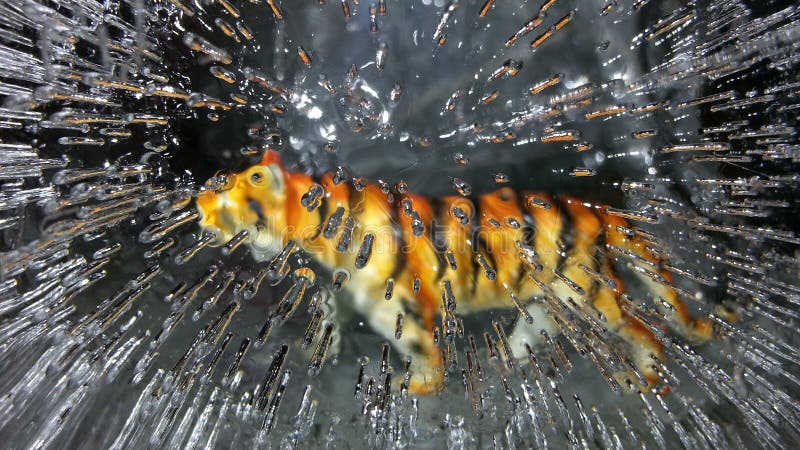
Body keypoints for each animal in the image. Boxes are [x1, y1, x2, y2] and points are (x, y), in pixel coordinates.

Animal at [195, 149, 717, 395]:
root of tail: (597, 210)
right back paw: (505, 357)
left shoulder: (403, 307)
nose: (198, 202)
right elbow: (328, 319)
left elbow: (423, 355)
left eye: (244, 185)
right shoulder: (340, 290)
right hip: (546, 299)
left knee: (643, 330)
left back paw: (646, 377)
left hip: (591, 296)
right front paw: (314, 351)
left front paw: (412, 387)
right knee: (535, 329)